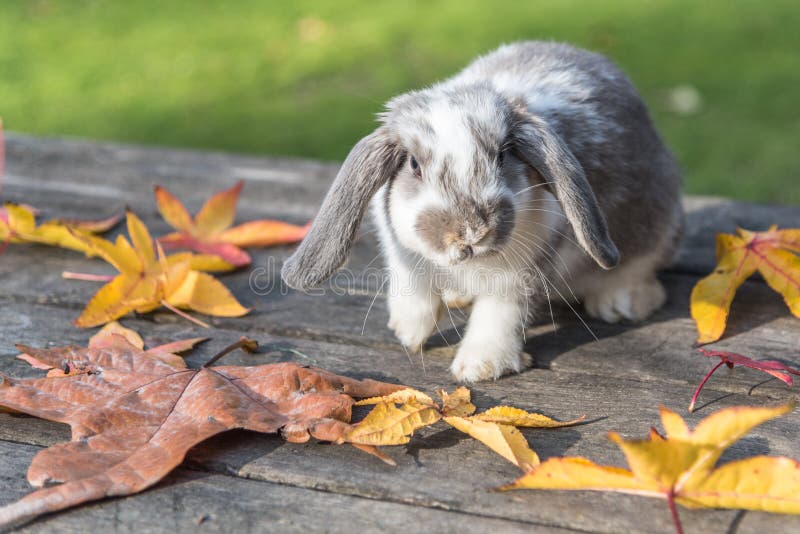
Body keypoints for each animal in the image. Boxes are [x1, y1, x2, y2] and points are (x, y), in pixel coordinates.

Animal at [281, 41, 683, 382]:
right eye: (414, 164)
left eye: (503, 155)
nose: (470, 234)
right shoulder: (401, 253)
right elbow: (413, 287)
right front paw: (408, 333)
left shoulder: (519, 271)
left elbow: (499, 313)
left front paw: (480, 367)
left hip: (655, 224)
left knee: (645, 268)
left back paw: (621, 304)